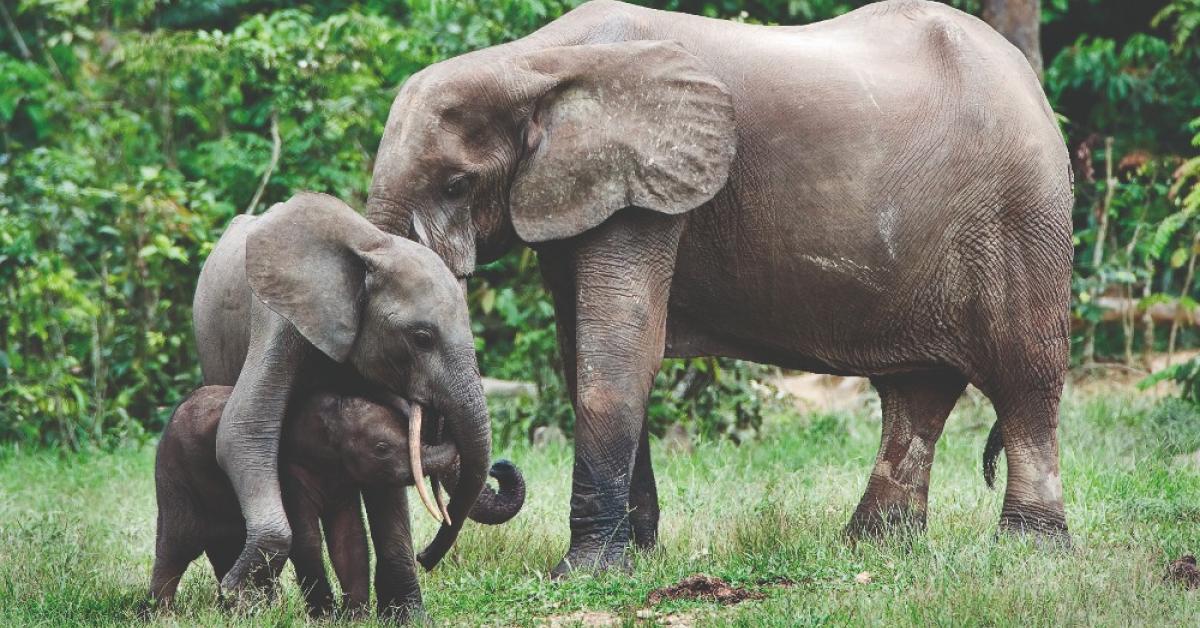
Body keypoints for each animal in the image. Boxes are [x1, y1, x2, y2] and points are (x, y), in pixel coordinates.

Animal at [149, 386, 526, 615]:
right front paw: (327, 616)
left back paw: (243, 610)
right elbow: (306, 537)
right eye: (381, 448)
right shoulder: (287, 470)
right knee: (180, 542)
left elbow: (349, 537)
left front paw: (354, 616)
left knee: (228, 543)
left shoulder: (343, 476)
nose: (499, 467)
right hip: (173, 470)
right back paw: (160, 614)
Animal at [192, 192, 494, 618]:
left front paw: (408, 617)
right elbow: (242, 431)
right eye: (421, 338)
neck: (371, 248)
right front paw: (238, 598)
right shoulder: (278, 319)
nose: (426, 556)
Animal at [355, 0, 1074, 576]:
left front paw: (582, 574)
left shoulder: (647, 187)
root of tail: (1030, 81)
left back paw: (1029, 553)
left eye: (456, 184)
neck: (533, 63)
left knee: (1024, 376)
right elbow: (581, 351)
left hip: (1023, 213)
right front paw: (637, 561)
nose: (429, 560)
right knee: (917, 388)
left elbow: (615, 356)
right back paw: (873, 549)